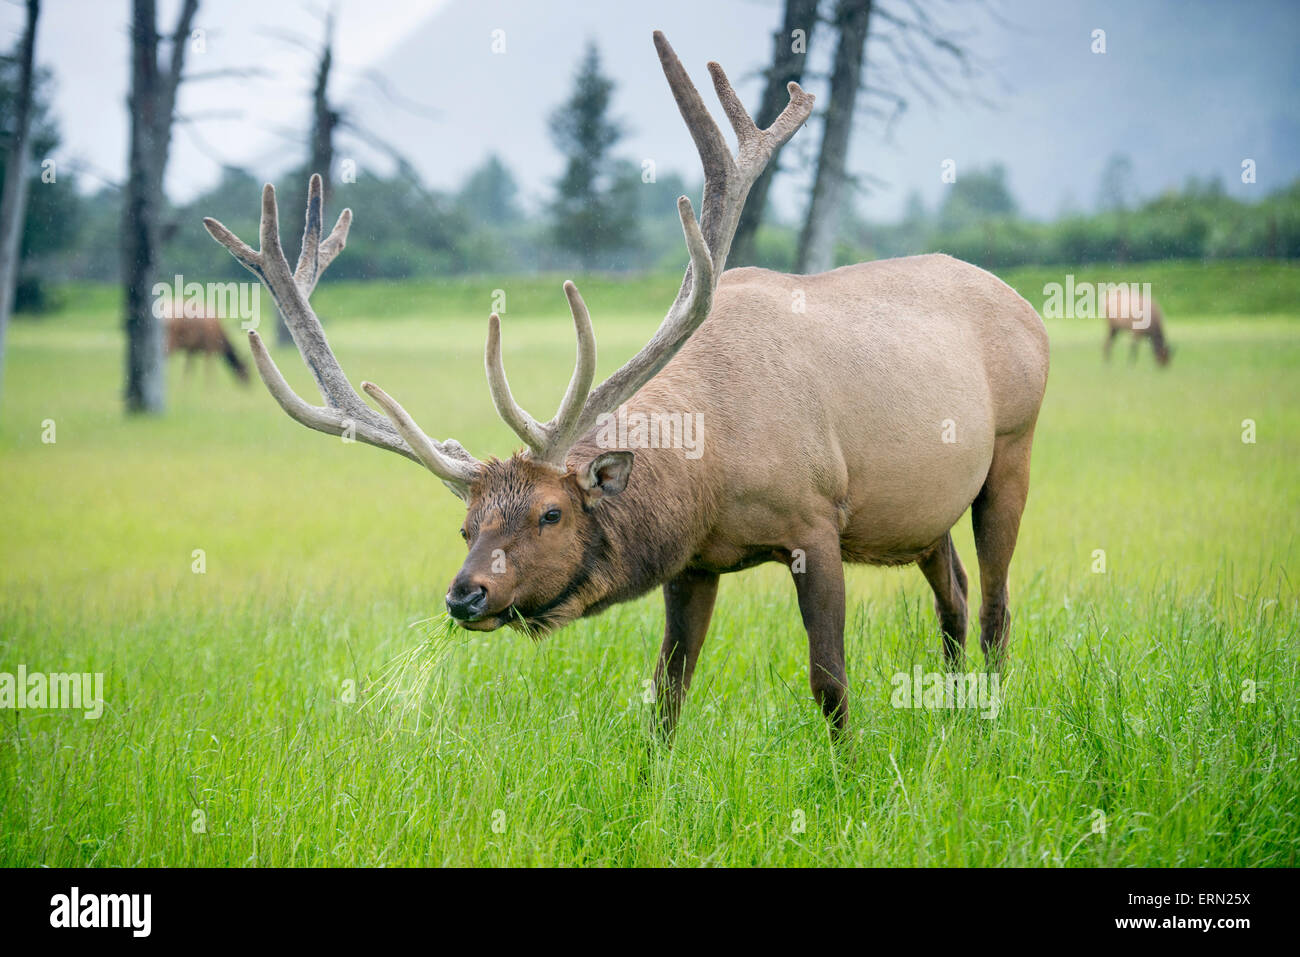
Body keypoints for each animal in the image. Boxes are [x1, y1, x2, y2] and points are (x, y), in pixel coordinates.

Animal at [202, 32, 1049, 743]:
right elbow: (666, 692)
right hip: (923, 512)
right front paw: (655, 786)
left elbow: (829, 680)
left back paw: (991, 718)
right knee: (954, 593)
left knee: (997, 604)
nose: (464, 595)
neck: (714, 464)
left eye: (550, 512)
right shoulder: (697, 560)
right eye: (465, 525)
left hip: (1012, 449)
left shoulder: (816, 519)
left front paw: (848, 769)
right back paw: (953, 709)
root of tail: (1027, 308)